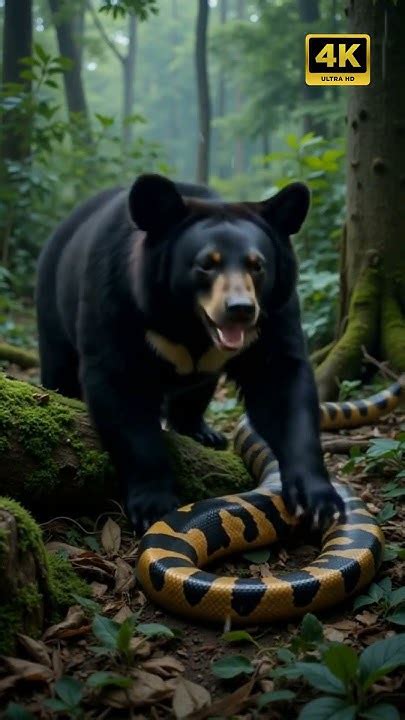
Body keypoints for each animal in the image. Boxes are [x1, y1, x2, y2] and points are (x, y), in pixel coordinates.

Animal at [36, 174, 344, 534]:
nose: (241, 309)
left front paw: (319, 501)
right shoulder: (115, 301)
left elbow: (281, 383)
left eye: (258, 266)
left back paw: (203, 432)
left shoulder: (273, 315)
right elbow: (120, 388)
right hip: (52, 304)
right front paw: (154, 505)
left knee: (196, 392)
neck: (191, 327)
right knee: (59, 366)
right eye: (205, 265)